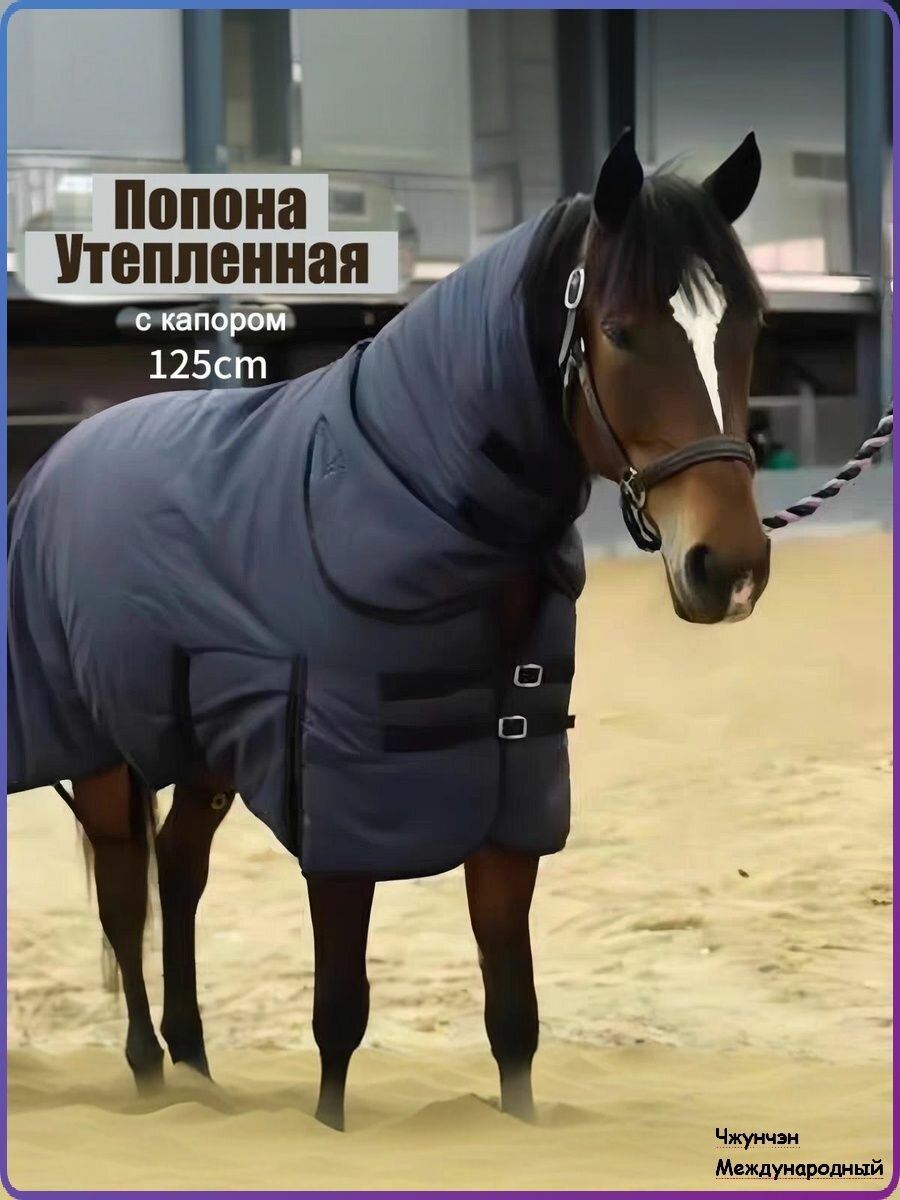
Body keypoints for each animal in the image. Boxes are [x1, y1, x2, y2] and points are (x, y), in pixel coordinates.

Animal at [7, 128, 770, 1131]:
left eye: (749, 327)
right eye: (618, 331)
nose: (730, 566)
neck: (411, 497)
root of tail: (61, 455)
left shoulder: (507, 801)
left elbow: (514, 1020)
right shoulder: (342, 809)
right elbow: (339, 1017)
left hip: (207, 750)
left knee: (178, 871)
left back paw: (198, 1069)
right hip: (98, 750)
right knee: (127, 893)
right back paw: (146, 1070)